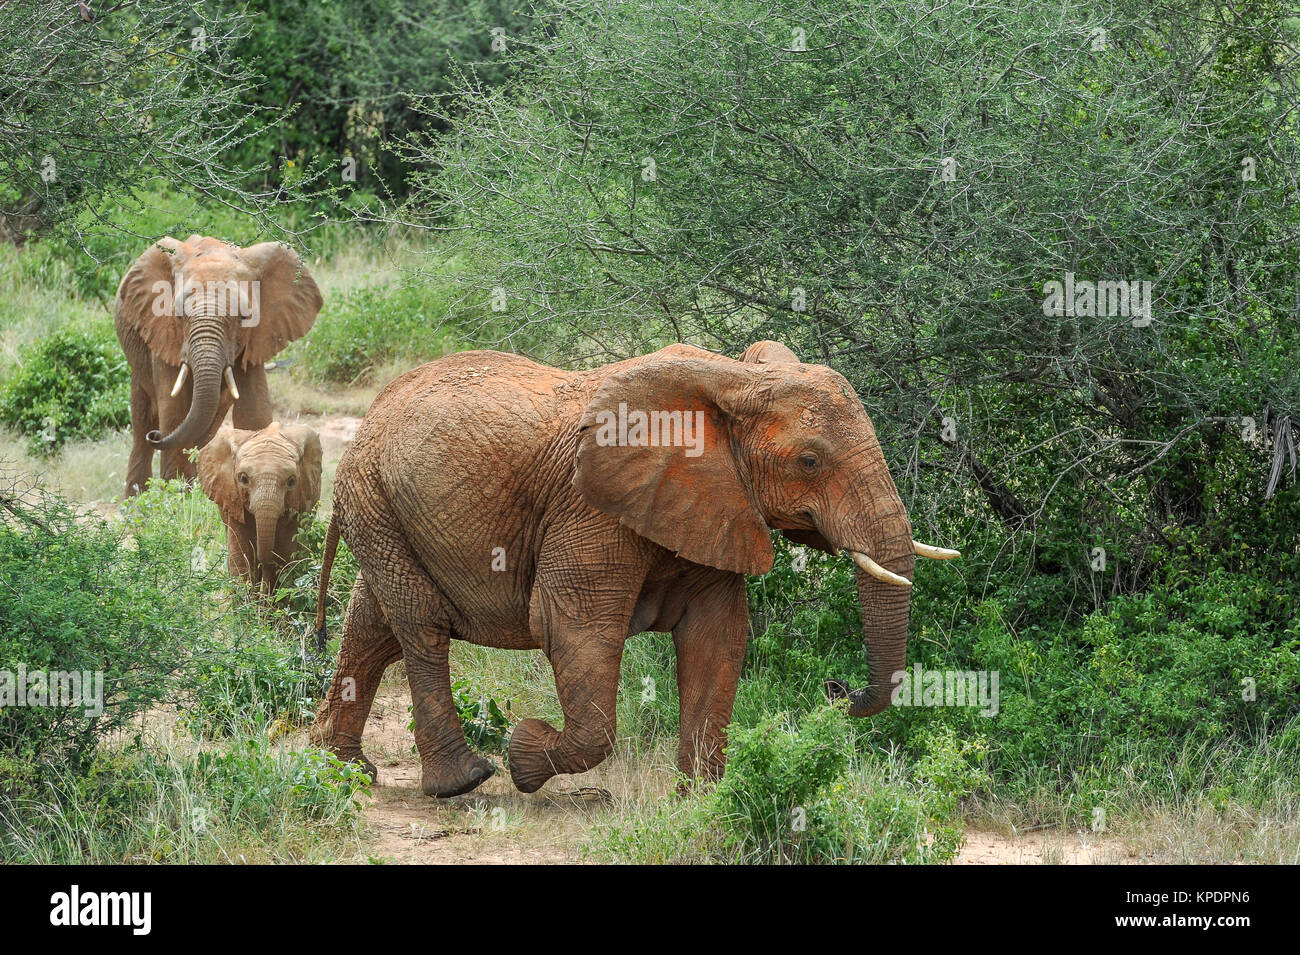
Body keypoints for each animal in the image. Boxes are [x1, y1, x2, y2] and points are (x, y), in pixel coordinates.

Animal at [114, 235, 322, 497]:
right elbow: (174, 410)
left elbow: (254, 413)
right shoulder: (164, 336)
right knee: (143, 425)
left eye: (244, 317)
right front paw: (177, 499)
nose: (157, 436)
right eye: (179, 316)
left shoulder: (256, 339)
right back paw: (135, 502)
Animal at [310, 340, 959, 797]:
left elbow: (717, 637)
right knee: (421, 625)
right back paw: (462, 780)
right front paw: (524, 752)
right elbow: (575, 631)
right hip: (374, 495)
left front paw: (701, 802)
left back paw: (340, 769)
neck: (733, 380)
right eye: (809, 461)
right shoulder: (591, 510)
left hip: (383, 506)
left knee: (373, 625)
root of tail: (373, 411)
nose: (836, 690)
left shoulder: (713, 502)